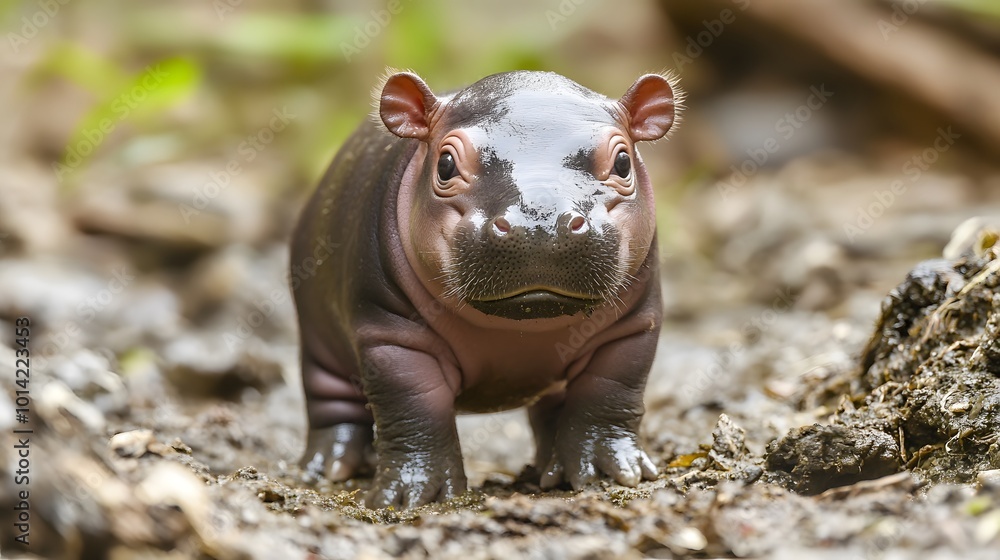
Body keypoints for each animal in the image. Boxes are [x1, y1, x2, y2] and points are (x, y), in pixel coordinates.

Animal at [291, 70, 680, 509]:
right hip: (319, 340)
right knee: (331, 402)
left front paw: (610, 473)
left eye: (623, 161)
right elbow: (412, 409)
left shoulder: (630, 327)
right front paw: (411, 495)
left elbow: (609, 393)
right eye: (445, 164)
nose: (540, 221)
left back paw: (550, 471)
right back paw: (328, 468)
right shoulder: (391, 335)